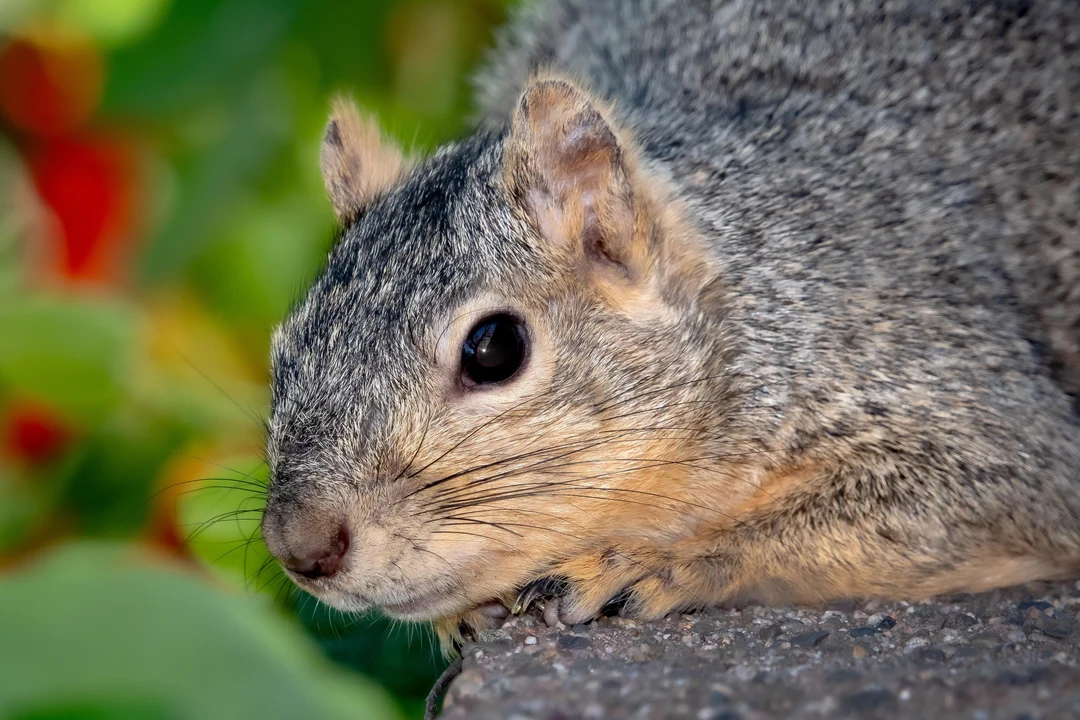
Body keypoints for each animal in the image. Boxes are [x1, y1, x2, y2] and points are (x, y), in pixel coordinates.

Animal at [260, 0, 1080, 651]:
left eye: (494, 350)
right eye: (285, 349)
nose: (301, 549)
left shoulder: (951, 376)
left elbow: (991, 493)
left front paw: (638, 559)